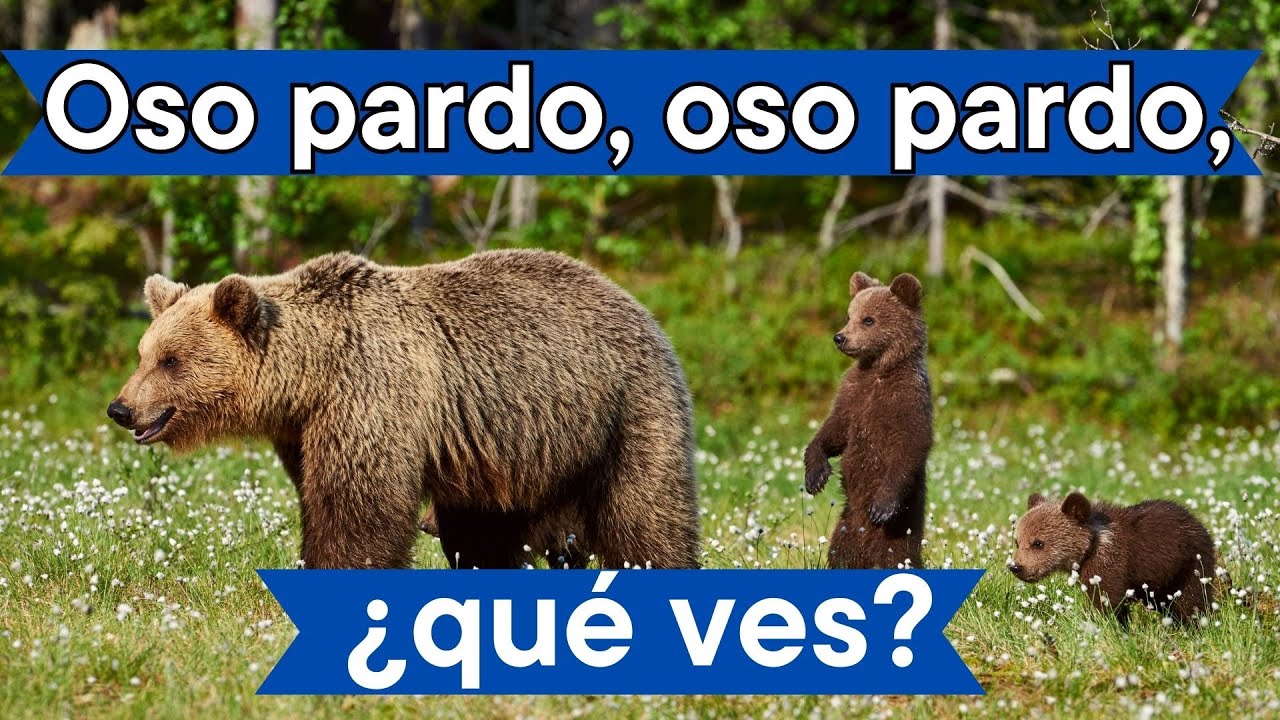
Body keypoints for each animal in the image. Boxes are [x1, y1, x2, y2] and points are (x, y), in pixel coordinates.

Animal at [106, 249, 701, 570]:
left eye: (171, 360)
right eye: (143, 353)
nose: (121, 408)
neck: (311, 375)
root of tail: (634, 302)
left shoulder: (372, 393)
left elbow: (358, 504)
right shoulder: (305, 429)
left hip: (624, 407)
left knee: (645, 513)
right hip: (508, 449)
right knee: (487, 530)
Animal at [803, 271, 932, 569]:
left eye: (869, 319)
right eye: (849, 315)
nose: (840, 337)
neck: (878, 369)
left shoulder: (907, 400)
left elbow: (912, 443)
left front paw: (882, 506)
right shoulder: (853, 396)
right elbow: (834, 430)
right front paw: (816, 475)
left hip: (898, 535)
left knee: (897, 556)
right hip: (844, 528)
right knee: (839, 554)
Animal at [1011, 492, 1216, 625]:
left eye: (1038, 543)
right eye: (1017, 542)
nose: (1016, 567)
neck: (1091, 547)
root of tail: (1198, 522)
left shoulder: (1109, 566)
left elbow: (1105, 600)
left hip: (1189, 566)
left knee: (1192, 600)